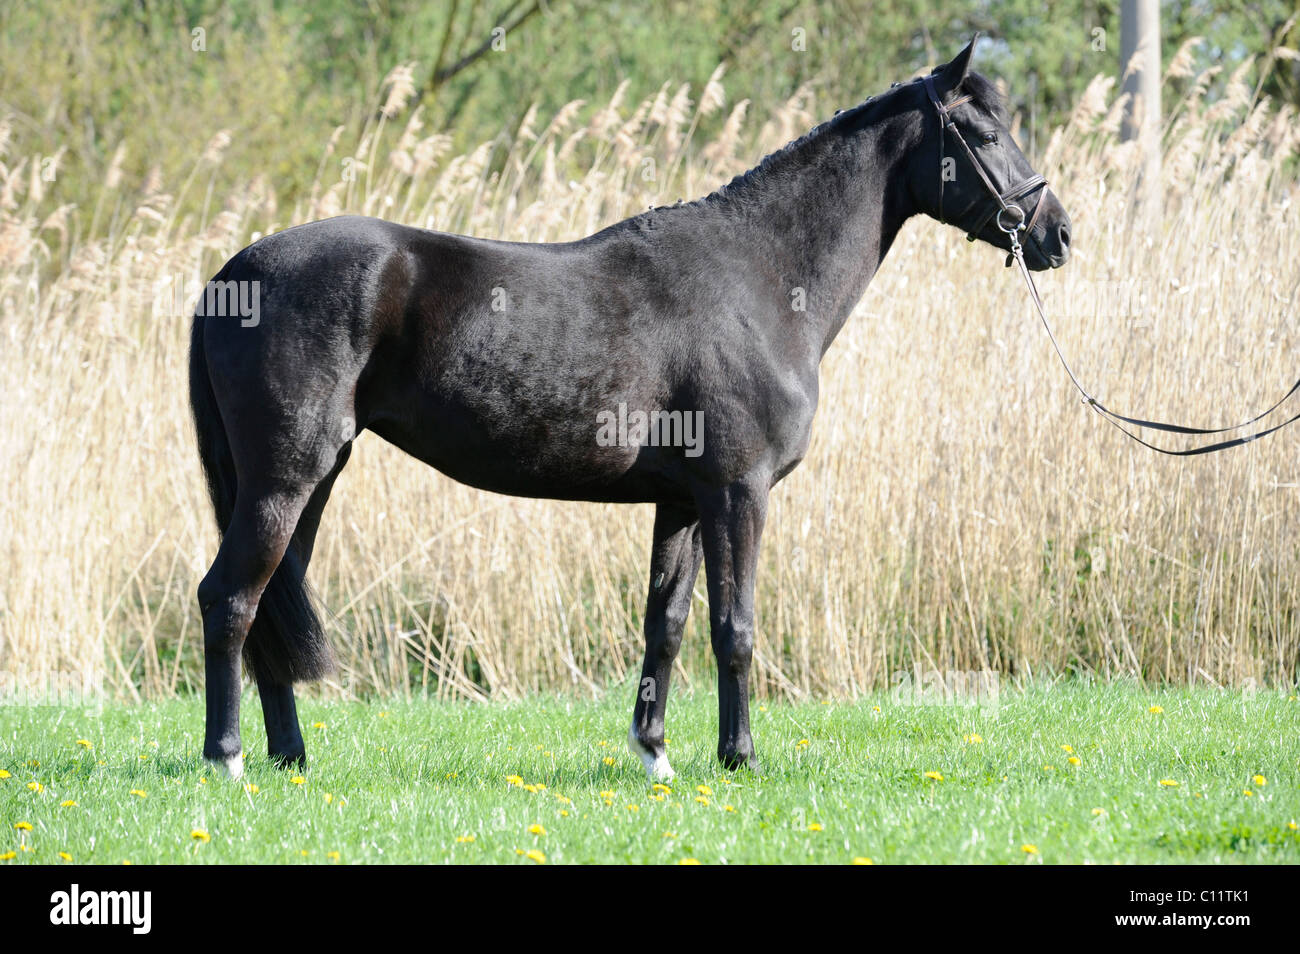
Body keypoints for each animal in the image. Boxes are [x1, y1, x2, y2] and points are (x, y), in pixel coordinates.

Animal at [189, 38, 1071, 781]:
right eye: (983, 132)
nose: (1057, 232)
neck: (758, 278)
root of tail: (233, 274)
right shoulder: (737, 492)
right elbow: (735, 628)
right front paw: (739, 758)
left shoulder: (682, 501)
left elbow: (668, 625)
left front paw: (655, 753)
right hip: (284, 478)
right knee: (229, 599)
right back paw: (227, 760)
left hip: (311, 481)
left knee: (267, 608)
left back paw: (291, 758)